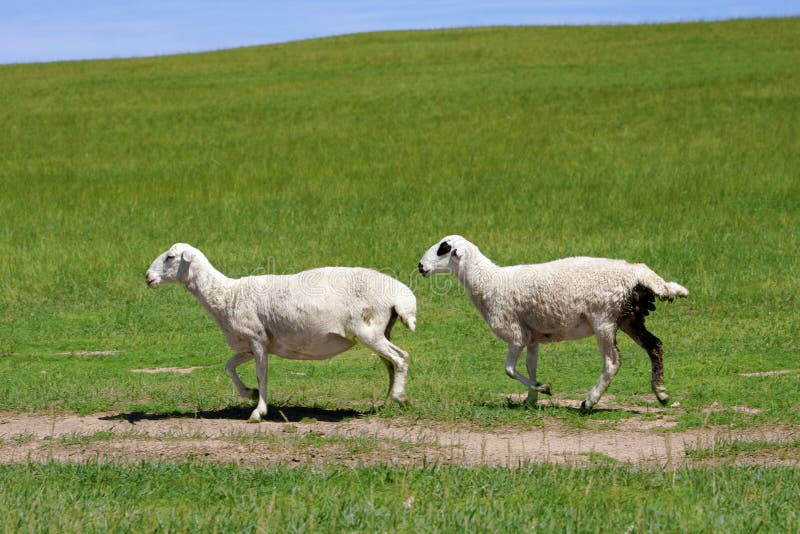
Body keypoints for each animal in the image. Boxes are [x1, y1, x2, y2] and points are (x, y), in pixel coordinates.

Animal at [145, 243, 416, 422]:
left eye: (170, 257)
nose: (147, 277)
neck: (227, 295)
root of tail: (401, 294)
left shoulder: (257, 339)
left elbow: (261, 375)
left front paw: (258, 412)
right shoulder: (249, 344)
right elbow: (229, 366)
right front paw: (249, 394)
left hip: (369, 331)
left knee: (401, 358)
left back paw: (400, 397)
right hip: (381, 331)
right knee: (391, 364)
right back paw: (386, 403)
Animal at [418, 235, 688, 412]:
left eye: (443, 249)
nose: (420, 266)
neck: (490, 281)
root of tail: (642, 275)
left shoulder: (515, 334)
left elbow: (509, 369)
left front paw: (544, 388)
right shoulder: (532, 337)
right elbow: (530, 366)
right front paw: (531, 399)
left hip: (604, 319)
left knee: (612, 362)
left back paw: (589, 402)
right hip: (630, 318)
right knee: (655, 346)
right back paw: (662, 393)